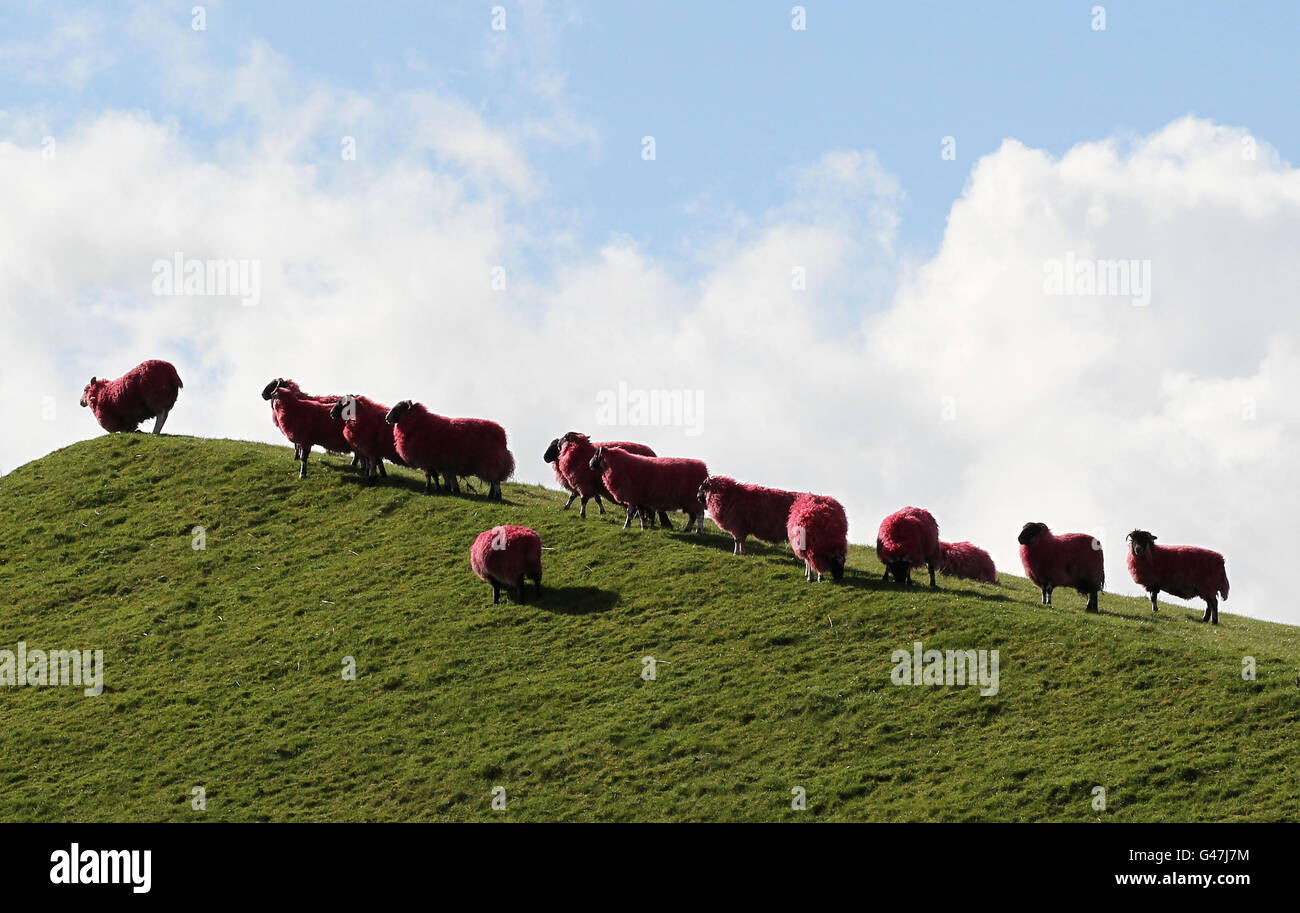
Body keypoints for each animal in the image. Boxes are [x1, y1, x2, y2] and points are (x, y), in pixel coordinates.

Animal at [384, 400, 514, 500]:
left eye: (399, 408)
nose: (386, 418)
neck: (418, 424)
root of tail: (502, 434)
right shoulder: (436, 461)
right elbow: (436, 476)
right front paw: (441, 489)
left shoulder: (427, 459)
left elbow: (429, 475)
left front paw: (427, 490)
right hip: (490, 464)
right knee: (493, 480)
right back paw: (490, 496)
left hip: (492, 462)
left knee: (495, 482)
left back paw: (497, 497)